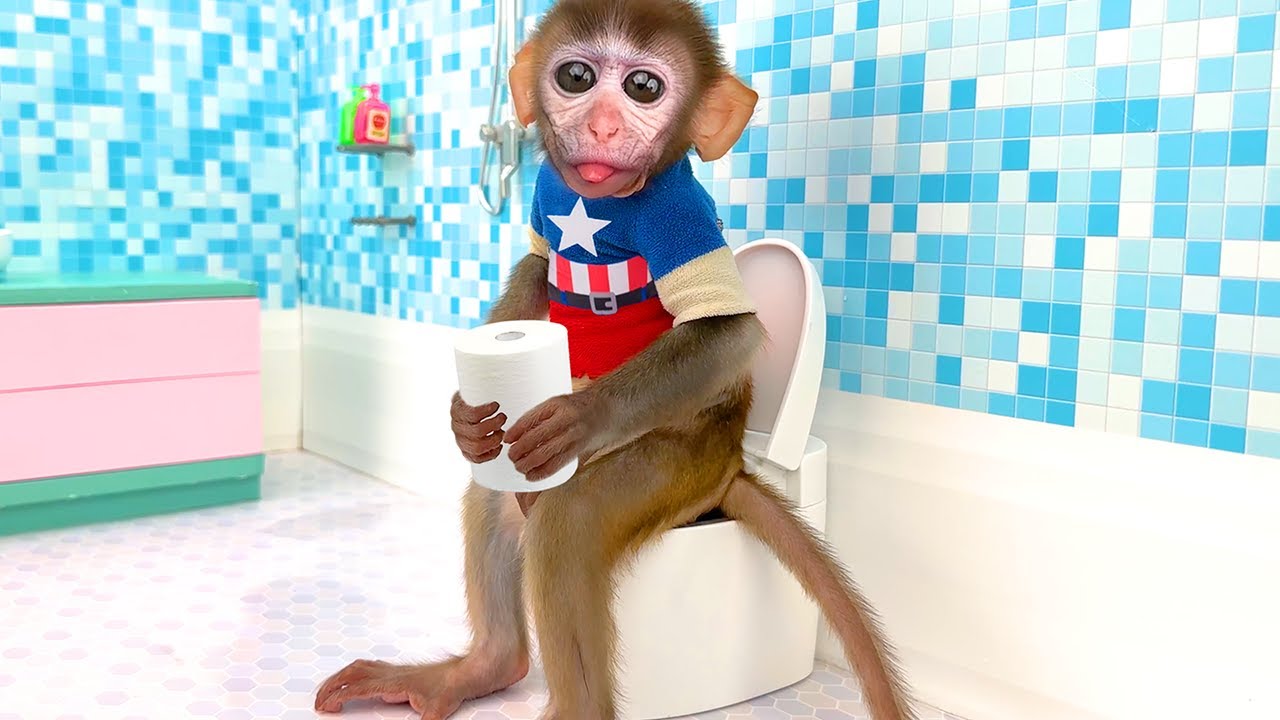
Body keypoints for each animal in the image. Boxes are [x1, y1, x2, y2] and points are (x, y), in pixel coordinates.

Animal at [313, 2, 917, 720]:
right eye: (575, 76)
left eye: (643, 88)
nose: (602, 125)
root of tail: (735, 464)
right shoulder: (549, 191)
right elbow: (539, 267)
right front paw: (463, 414)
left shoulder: (675, 211)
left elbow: (727, 331)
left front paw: (581, 416)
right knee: (495, 492)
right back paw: (487, 664)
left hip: (679, 467)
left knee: (568, 519)